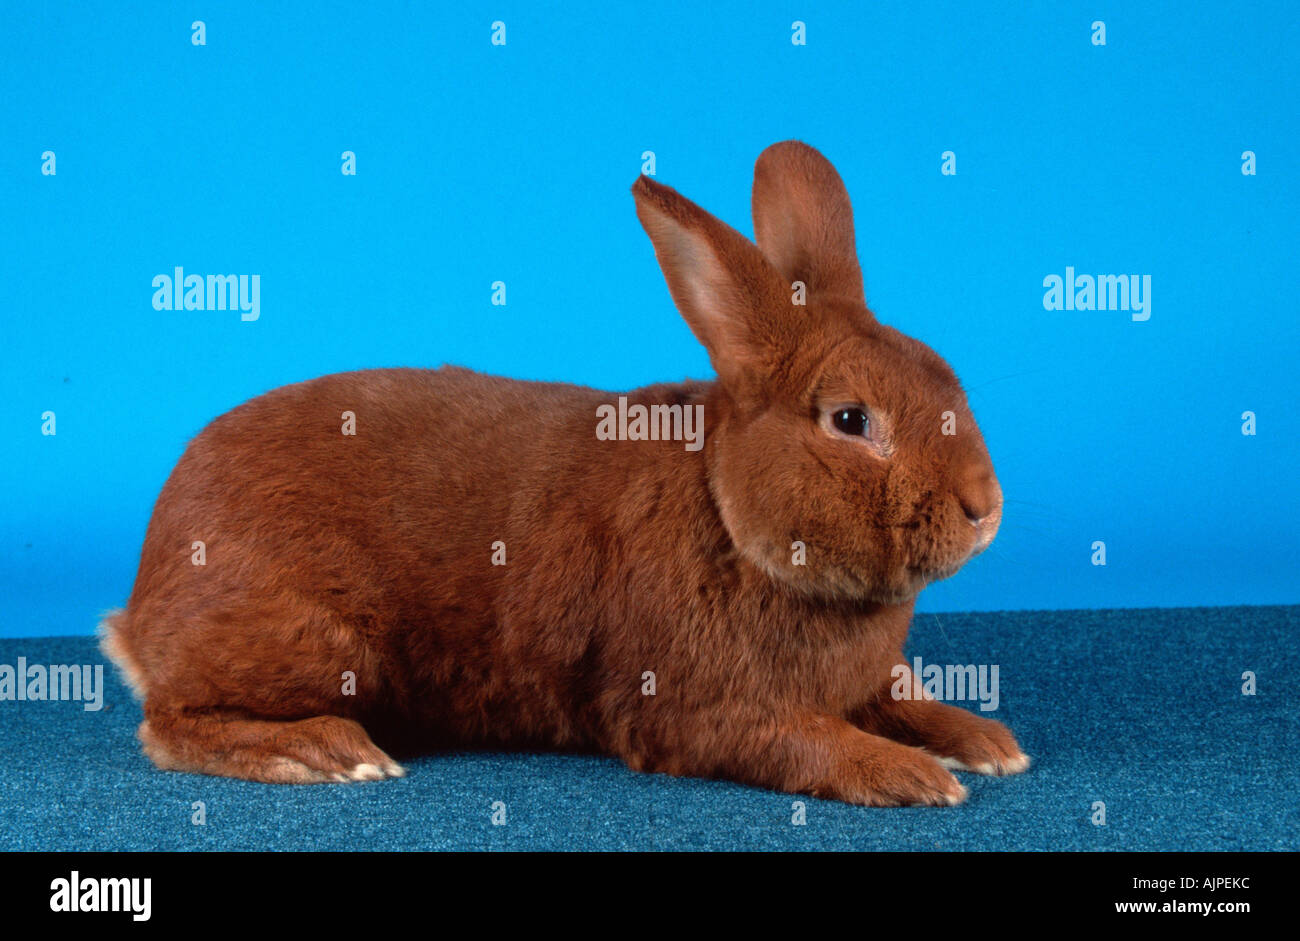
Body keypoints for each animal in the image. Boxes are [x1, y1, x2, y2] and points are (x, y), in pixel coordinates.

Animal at [101, 140, 1028, 806]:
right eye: (850, 421)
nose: (985, 508)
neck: (732, 517)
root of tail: (139, 610)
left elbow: (899, 702)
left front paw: (984, 743)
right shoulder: (694, 709)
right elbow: (802, 739)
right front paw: (910, 775)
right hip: (317, 639)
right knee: (172, 722)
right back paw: (325, 751)